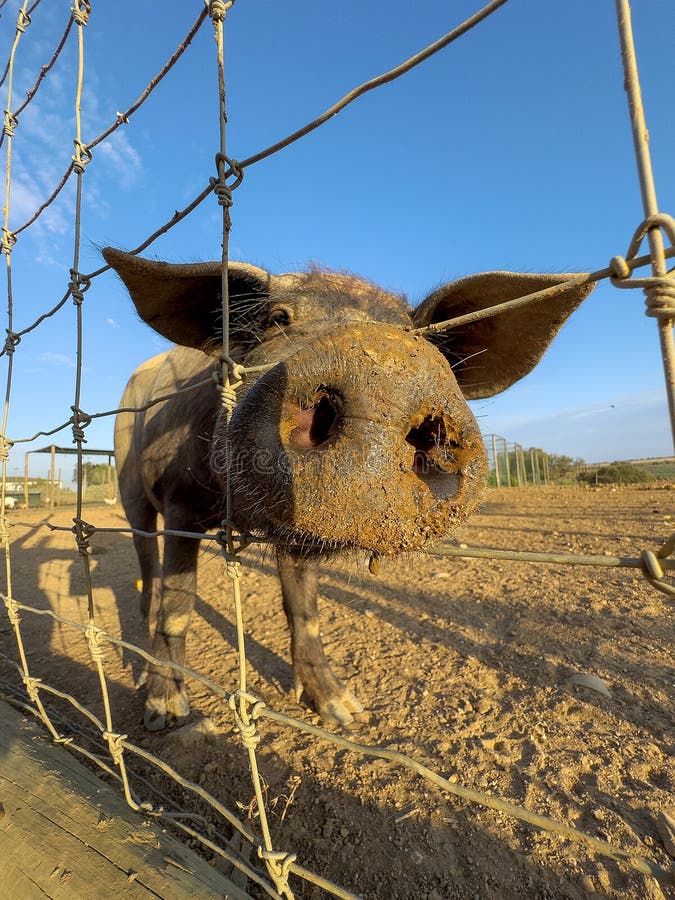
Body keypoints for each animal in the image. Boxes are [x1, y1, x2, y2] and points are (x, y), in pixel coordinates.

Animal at [105, 247, 594, 729]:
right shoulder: (179, 500)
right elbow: (179, 603)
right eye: (276, 318)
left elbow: (305, 610)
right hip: (128, 484)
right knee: (147, 561)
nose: (383, 359)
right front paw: (166, 712)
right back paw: (144, 654)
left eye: (415, 334)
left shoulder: (299, 530)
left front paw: (344, 711)